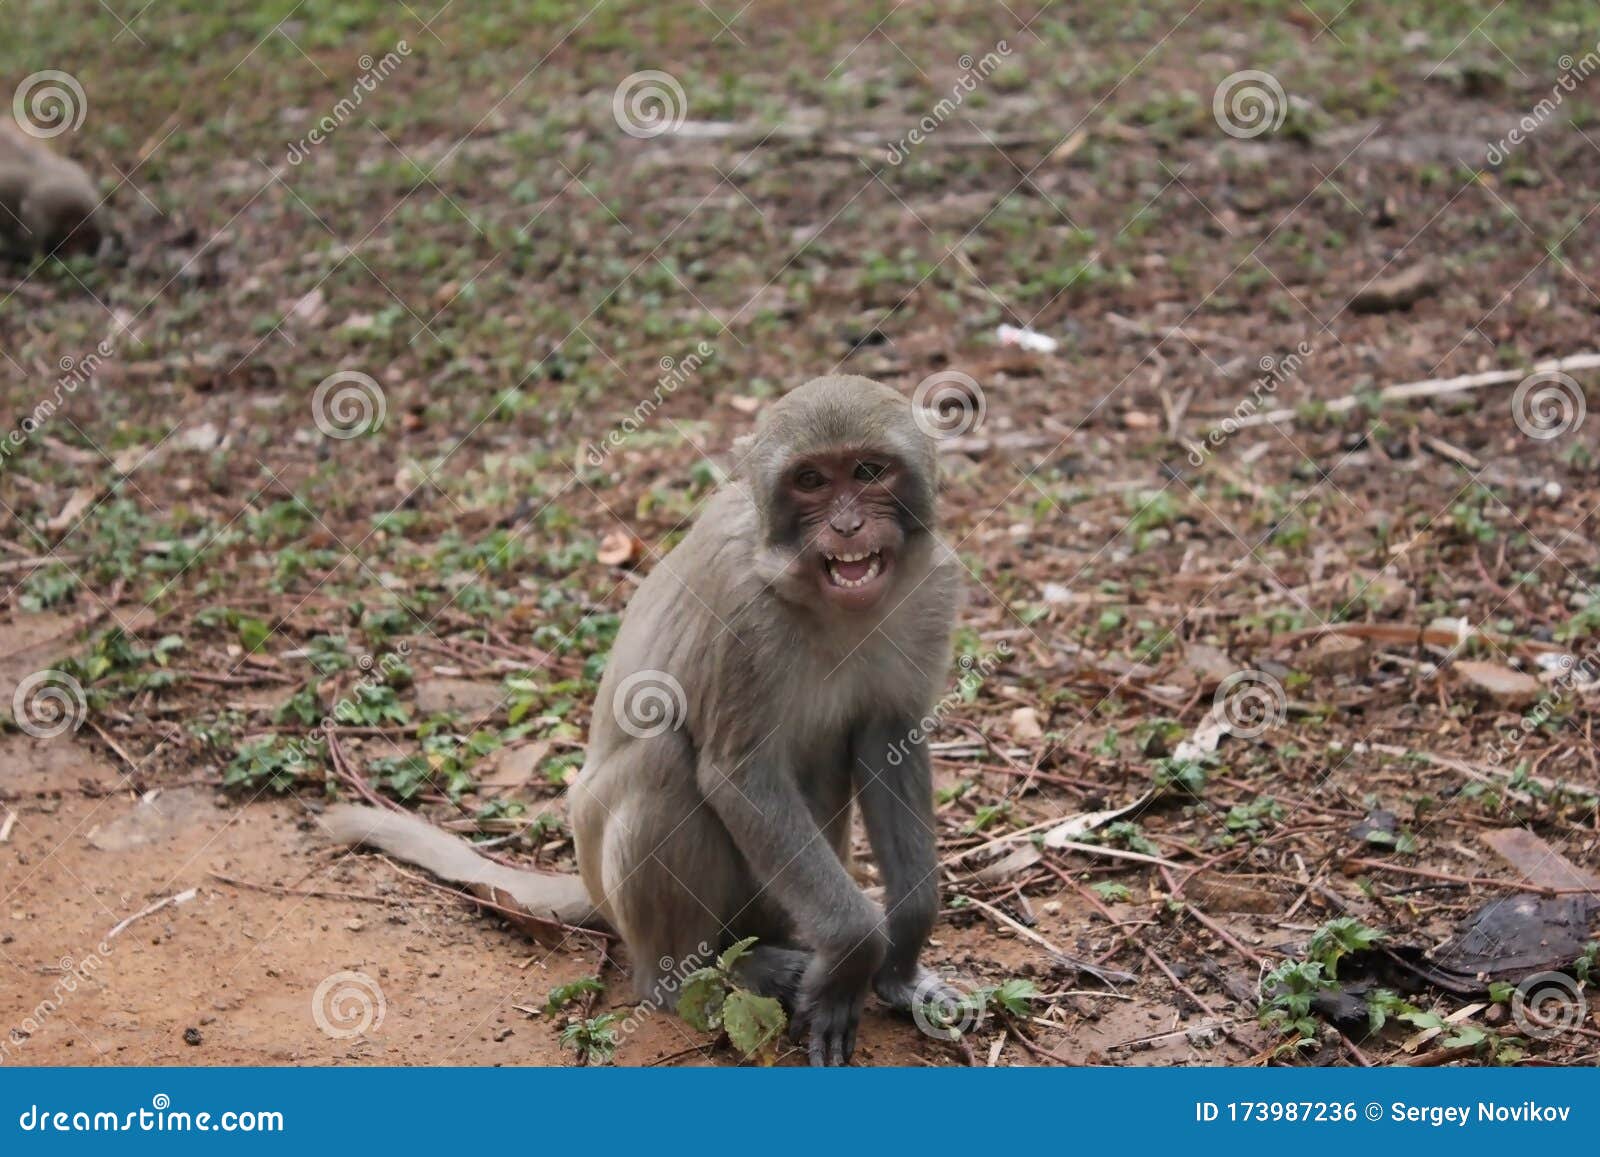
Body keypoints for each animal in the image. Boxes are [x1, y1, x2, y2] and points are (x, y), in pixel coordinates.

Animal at [327, 374, 961, 1065]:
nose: (847, 527)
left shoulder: (930, 592)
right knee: (665, 760)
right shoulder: (742, 611)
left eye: (869, 471)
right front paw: (854, 954)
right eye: (811, 480)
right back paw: (695, 975)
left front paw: (898, 962)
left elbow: (888, 741)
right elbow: (738, 773)